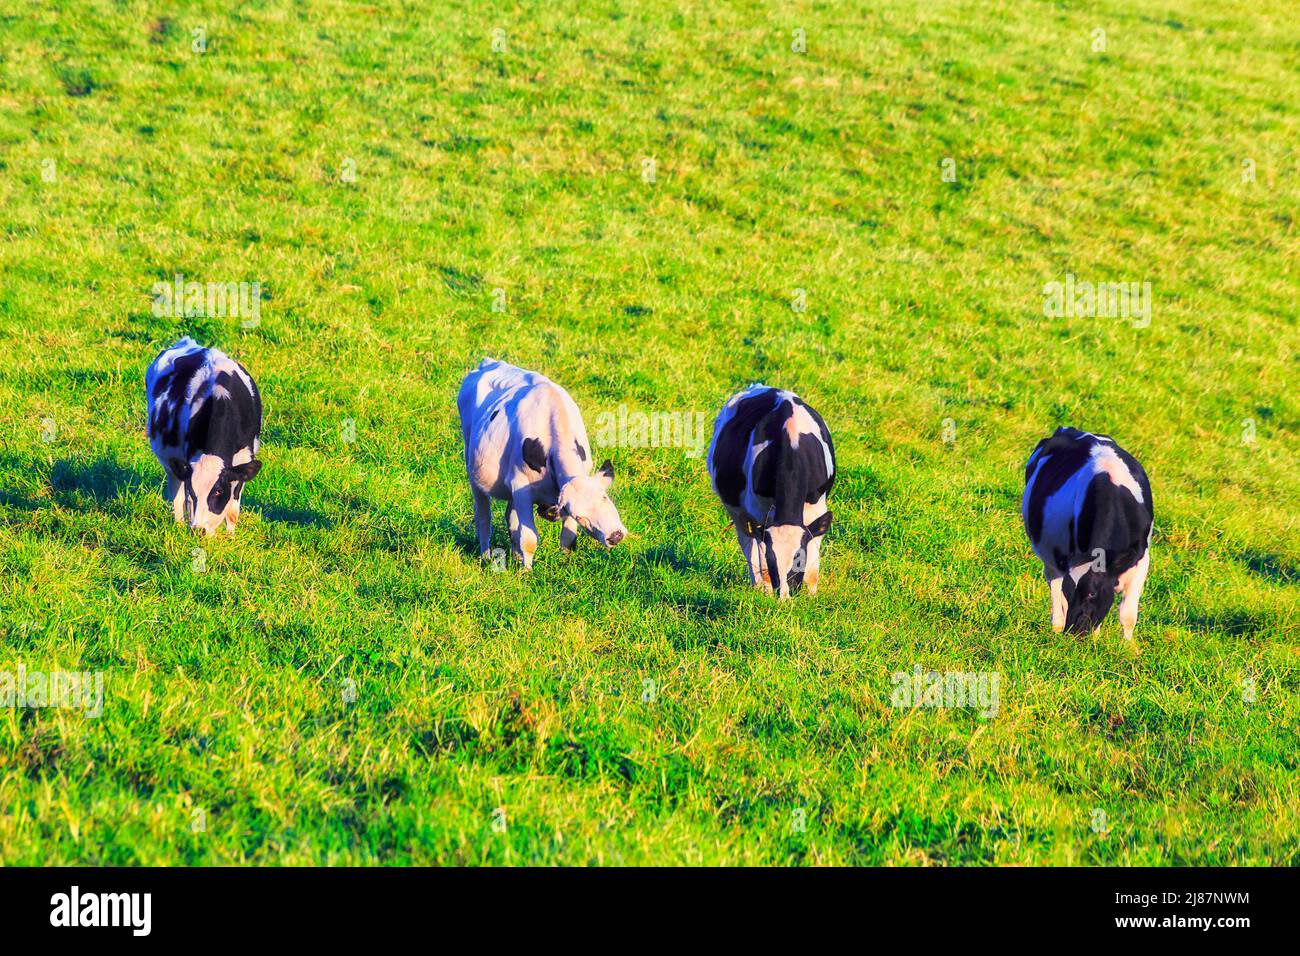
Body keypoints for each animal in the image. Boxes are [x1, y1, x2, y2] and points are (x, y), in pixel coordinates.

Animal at [145, 337, 263, 536]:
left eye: (218, 491)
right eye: (193, 492)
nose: (198, 530)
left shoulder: (244, 459)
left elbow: (232, 510)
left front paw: (230, 537)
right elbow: (186, 501)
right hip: (172, 464)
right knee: (176, 494)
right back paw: (178, 523)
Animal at [458, 358, 627, 569]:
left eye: (604, 497)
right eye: (579, 516)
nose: (615, 536)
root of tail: (488, 362)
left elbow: (568, 539)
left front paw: (566, 564)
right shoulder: (522, 488)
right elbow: (530, 538)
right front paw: (526, 571)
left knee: (510, 518)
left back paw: (516, 556)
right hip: (473, 469)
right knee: (483, 517)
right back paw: (486, 557)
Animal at [707, 385, 835, 598]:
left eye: (798, 560)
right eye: (773, 560)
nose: (784, 597)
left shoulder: (816, 507)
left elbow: (813, 563)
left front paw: (811, 596)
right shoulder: (758, 511)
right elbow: (761, 557)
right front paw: (766, 592)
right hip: (736, 508)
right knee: (746, 542)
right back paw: (757, 585)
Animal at [1022, 427, 1153, 641]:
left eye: (1091, 593)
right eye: (1070, 592)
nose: (1073, 632)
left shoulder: (1141, 561)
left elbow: (1127, 614)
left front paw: (1128, 645)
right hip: (1049, 555)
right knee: (1053, 582)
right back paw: (1057, 624)